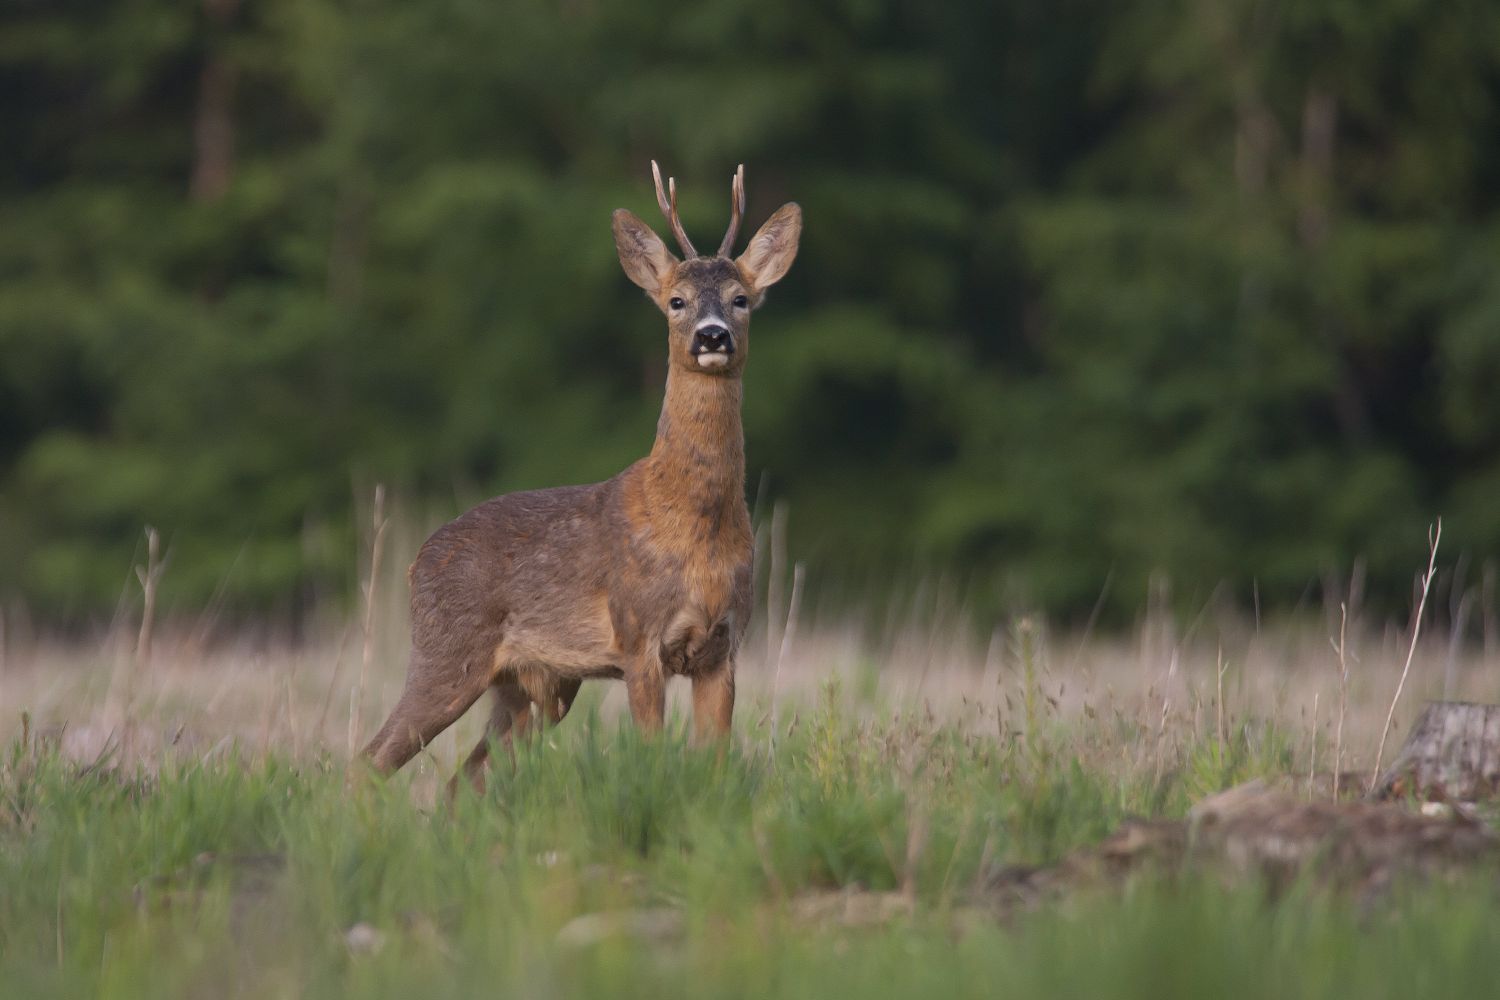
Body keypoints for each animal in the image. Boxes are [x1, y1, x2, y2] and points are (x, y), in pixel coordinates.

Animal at [360, 162, 801, 792]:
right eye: (676, 300)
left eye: (742, 298)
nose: (712, 335)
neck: (690, 523)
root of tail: (416, 562)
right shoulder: (639, 638)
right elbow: (652, 752)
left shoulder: (724, 646)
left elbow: (714, 762)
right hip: (446, 655)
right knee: (371, 760)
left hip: (535, 686)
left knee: (463, 778)